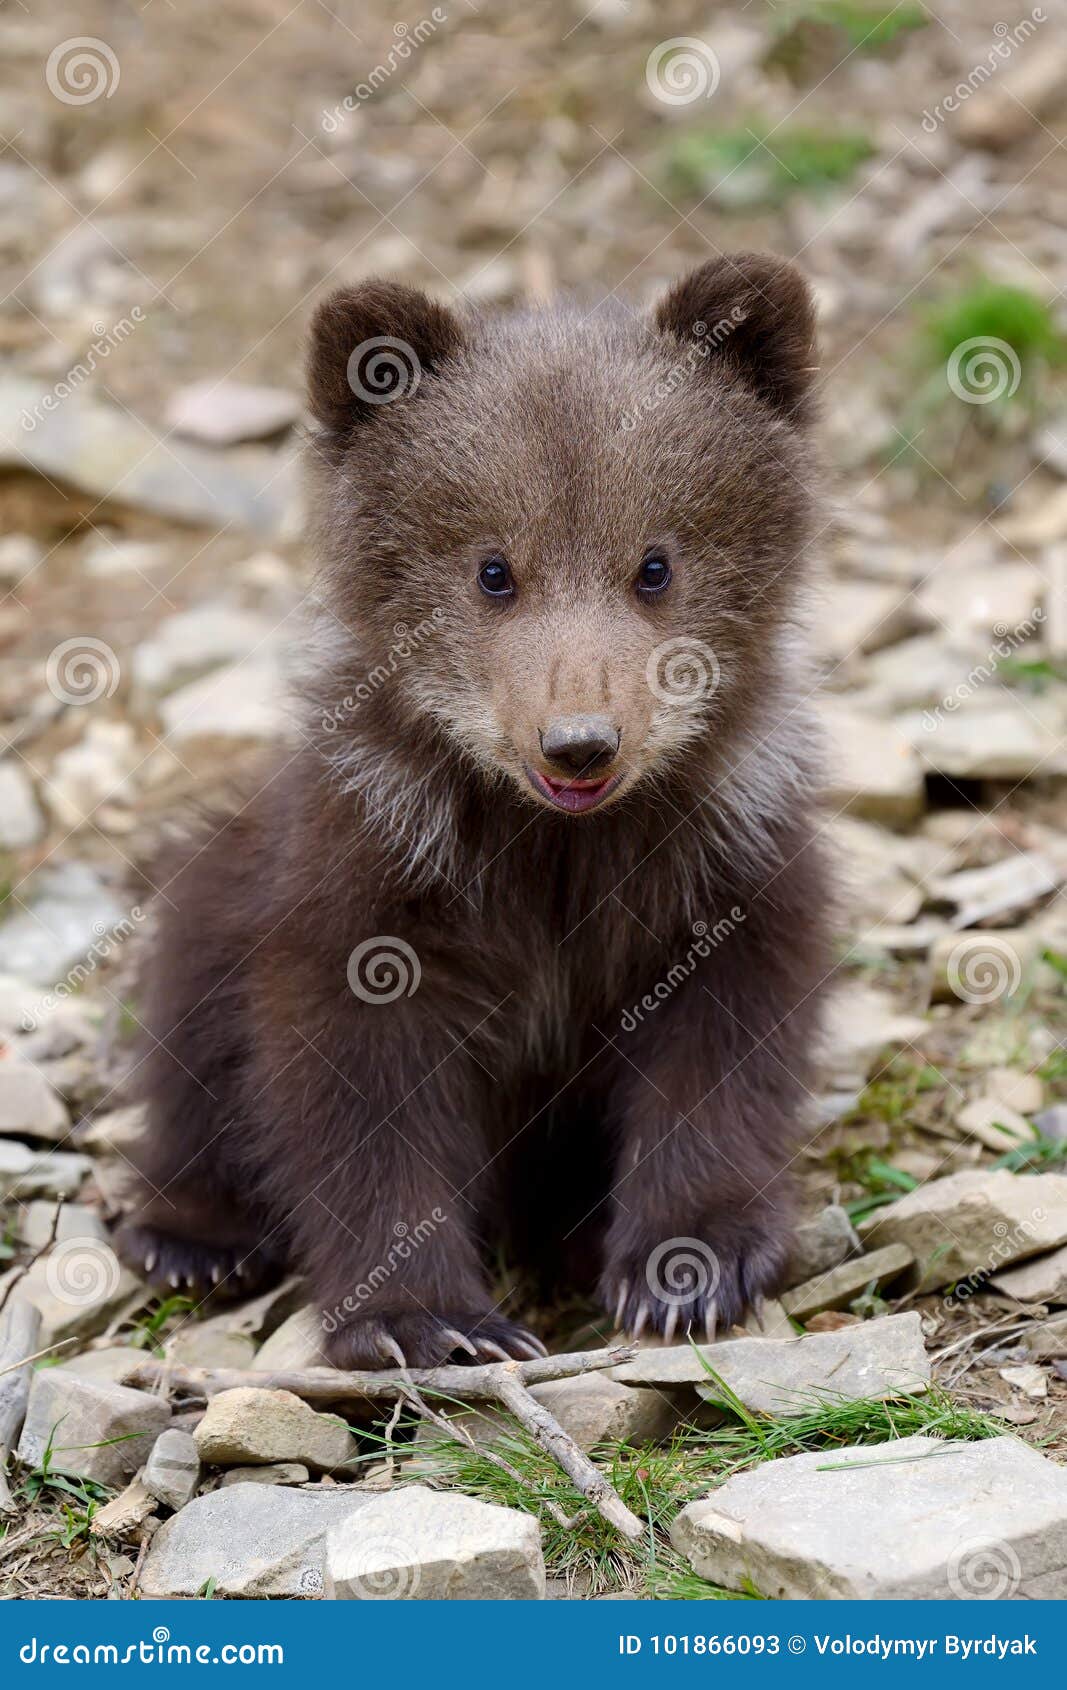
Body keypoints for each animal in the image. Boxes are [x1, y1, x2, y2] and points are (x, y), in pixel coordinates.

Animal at [115, 252, 832, 1369]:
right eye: (493, 569)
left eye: (655, 563)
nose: (578, 741)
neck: (555, 845)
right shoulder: (371, 880)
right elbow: (358, 1096)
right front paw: (427, 1318)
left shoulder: (725, 857)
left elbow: (722, 1051)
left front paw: (686, 1267)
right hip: (224, 888)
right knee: (188, 1028)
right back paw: (194, 1237)